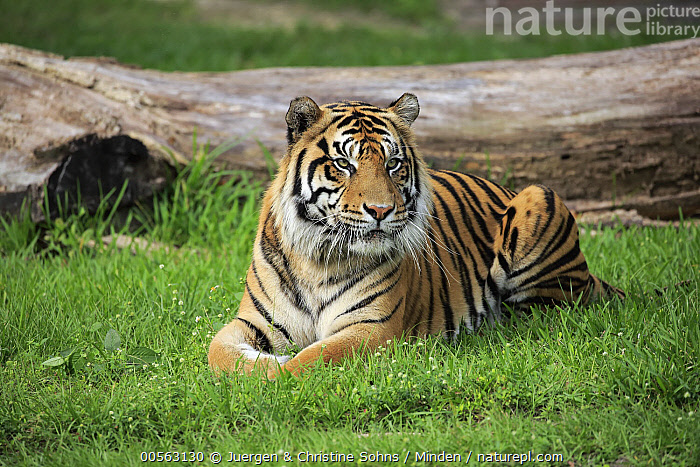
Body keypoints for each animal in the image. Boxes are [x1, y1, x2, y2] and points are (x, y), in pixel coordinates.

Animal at [208, 93, 625, 378]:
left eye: (393, 163)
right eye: (344, 163)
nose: (380, 211)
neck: (318, 258)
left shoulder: (371, 327)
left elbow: (312, 358)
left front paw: (279, 370)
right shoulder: (254, 320)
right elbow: (218, 350)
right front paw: (265, 365)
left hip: (538, 198)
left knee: (542, 313)